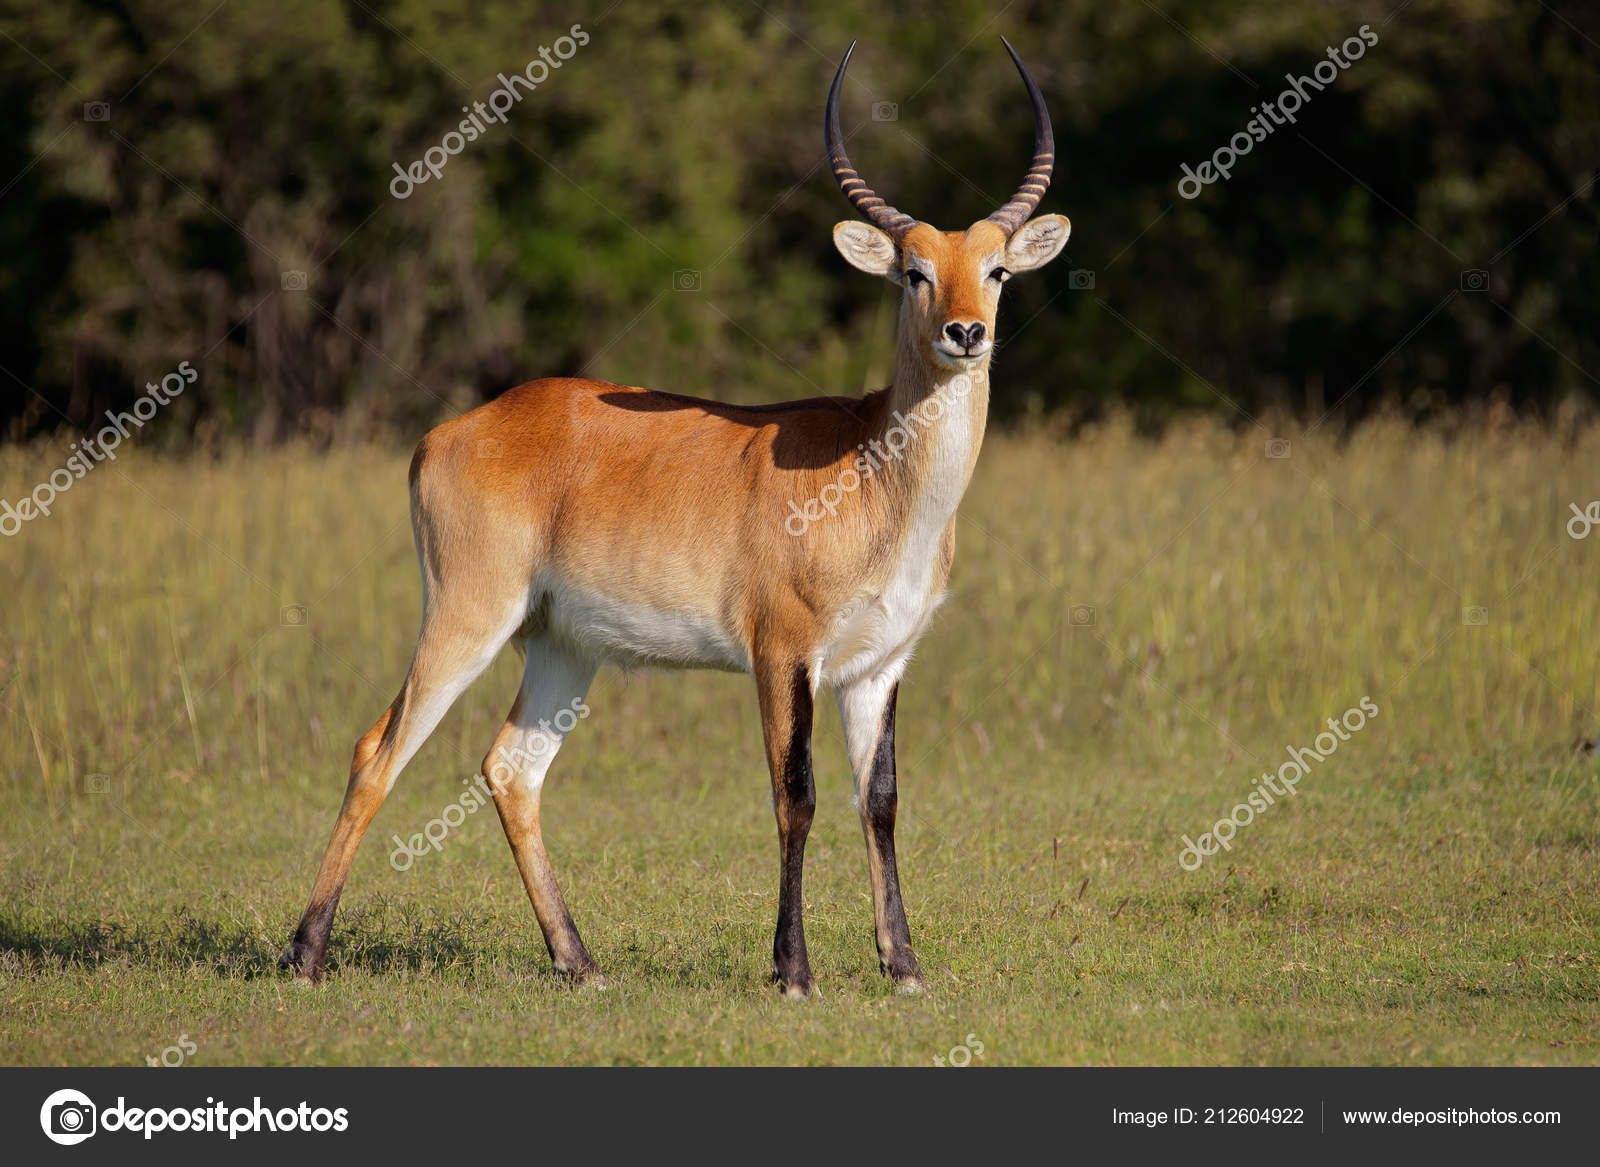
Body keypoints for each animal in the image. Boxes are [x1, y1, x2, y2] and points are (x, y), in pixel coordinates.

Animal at [281, 37, 1070, 999]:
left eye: (997, 270)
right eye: (914, 272)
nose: (965, 332)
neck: (872, 477)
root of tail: (453, 429)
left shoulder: (880, 664)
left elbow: (879, 802)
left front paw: (905, 967)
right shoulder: (783, 652)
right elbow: (796, 795)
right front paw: (794, 971)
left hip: (562, 644)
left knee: (510, 769)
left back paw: (580, 963)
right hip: (467, 615)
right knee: (377, 750)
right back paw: (305, 955)